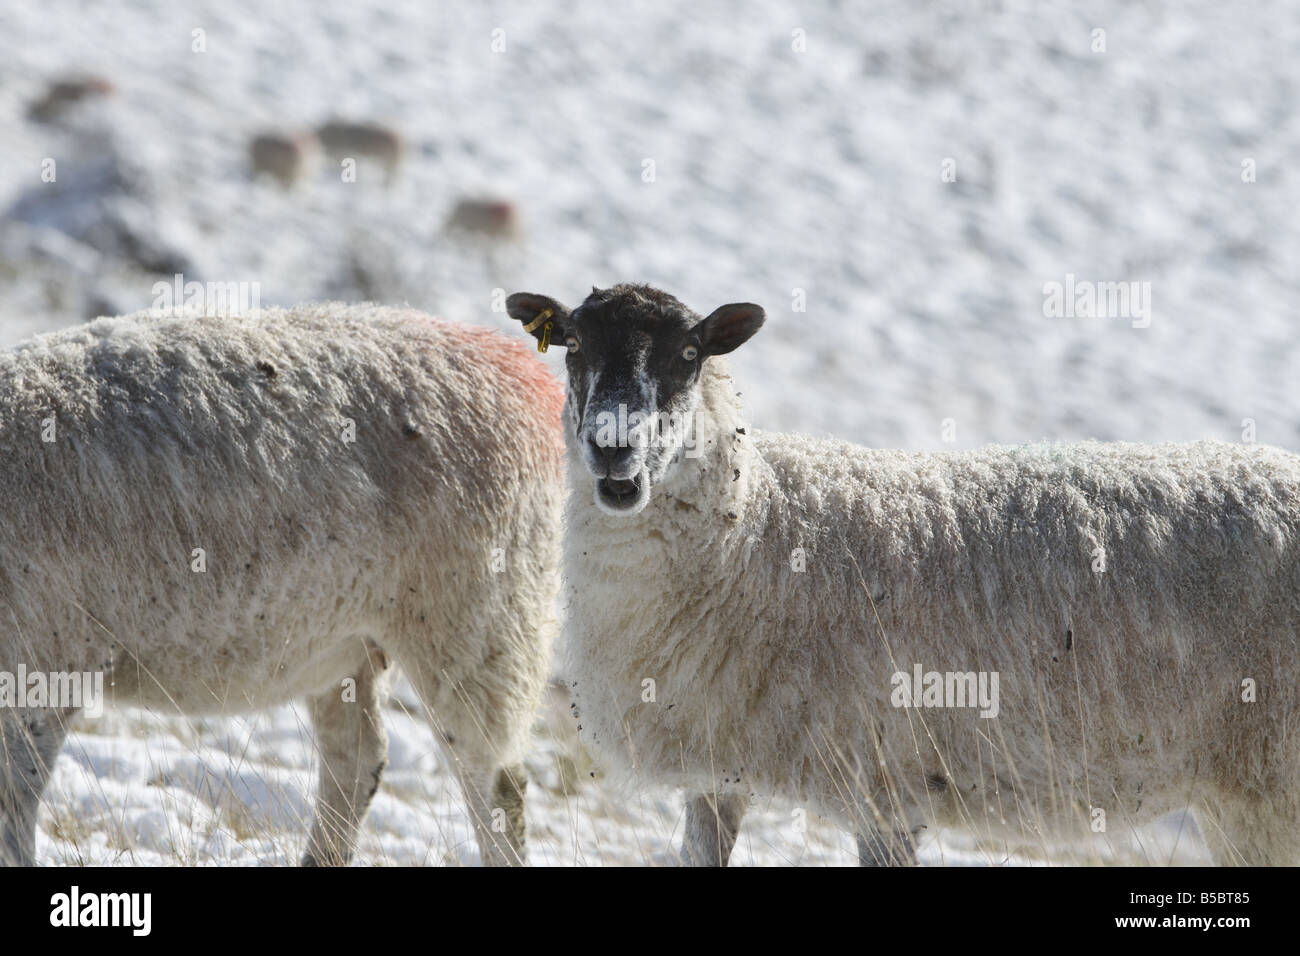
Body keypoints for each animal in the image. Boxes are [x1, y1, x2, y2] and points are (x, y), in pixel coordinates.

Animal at [0, 302, 564, 866]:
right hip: (347, 645)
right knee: (358, 760)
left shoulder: (35, 672)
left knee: (498, 786)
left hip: (480, 624)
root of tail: (516, 368)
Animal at [508, 282, 1300, 867]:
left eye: (690, 352)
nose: (613, 448)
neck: (761, 532)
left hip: (1269, 790)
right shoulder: (714, 777)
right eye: (571, 344)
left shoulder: (886, 787)